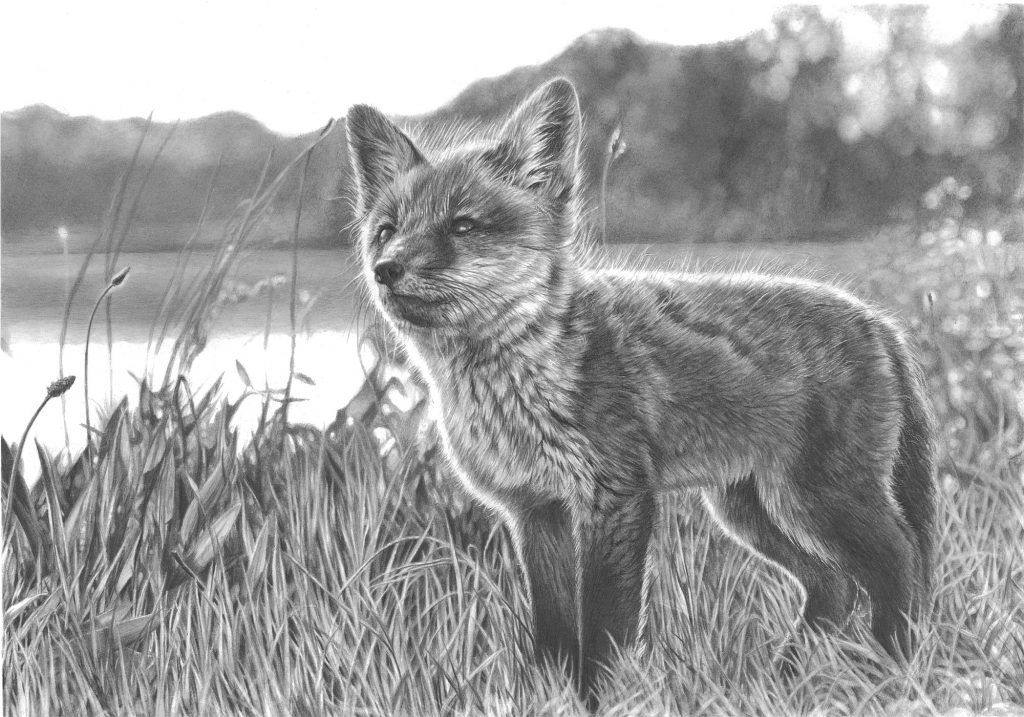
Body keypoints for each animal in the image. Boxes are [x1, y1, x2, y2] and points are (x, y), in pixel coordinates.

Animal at [344, 77, 936, 706]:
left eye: (462, 226)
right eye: (386, 230)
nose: (386, 269)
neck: (519, 388)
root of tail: (880, 322)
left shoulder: (616, 498)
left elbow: (605, 629)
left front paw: (604, 700)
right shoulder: (537, 513)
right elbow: (554, 634)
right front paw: (552, 699)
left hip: (819, 499)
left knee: (899, 562)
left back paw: (892, 674)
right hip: (749, 510)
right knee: (834, 583)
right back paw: (787, 682)